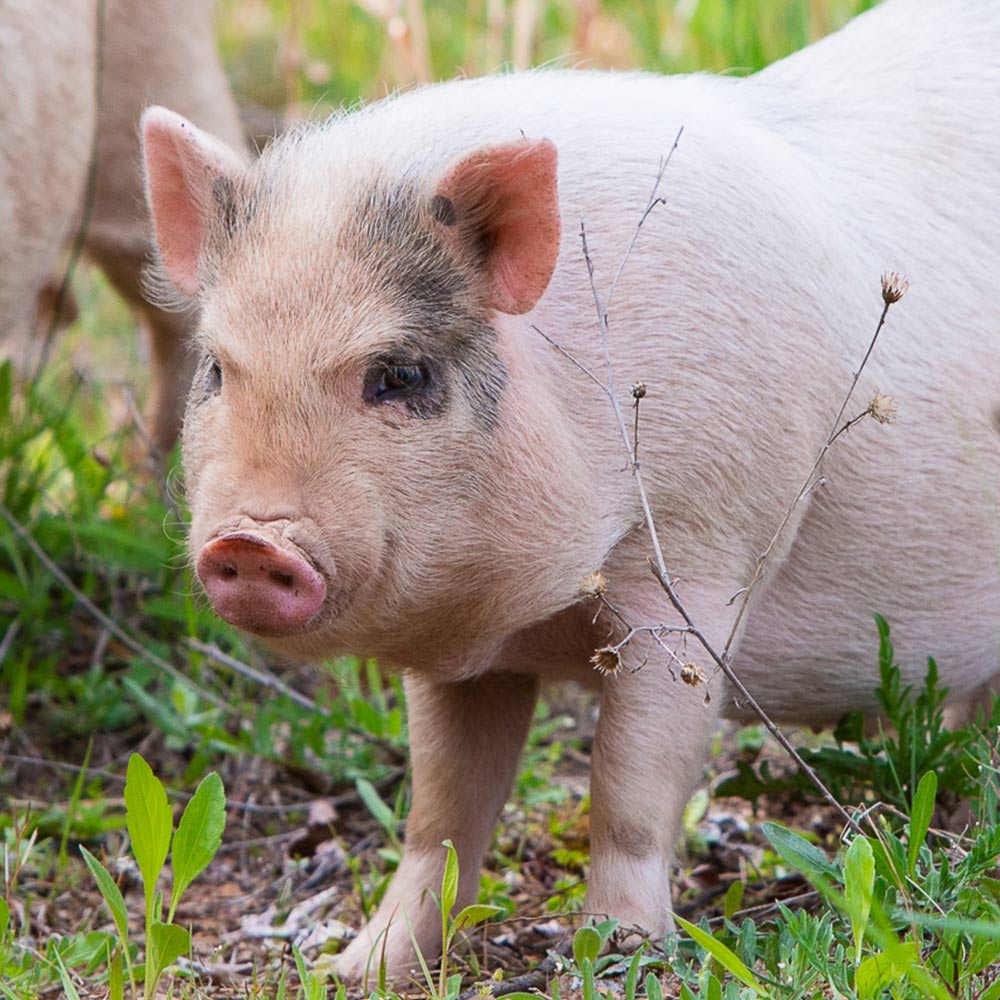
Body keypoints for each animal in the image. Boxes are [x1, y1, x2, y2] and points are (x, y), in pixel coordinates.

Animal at [141, 0, 1000, 984]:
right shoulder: (465, 655)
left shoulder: (702, 561)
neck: (539, 612)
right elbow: (442, 812)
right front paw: (359, 971)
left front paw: (624, 955)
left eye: (398, 374)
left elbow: (629, 787)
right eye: (217, 369)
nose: (249, 544)